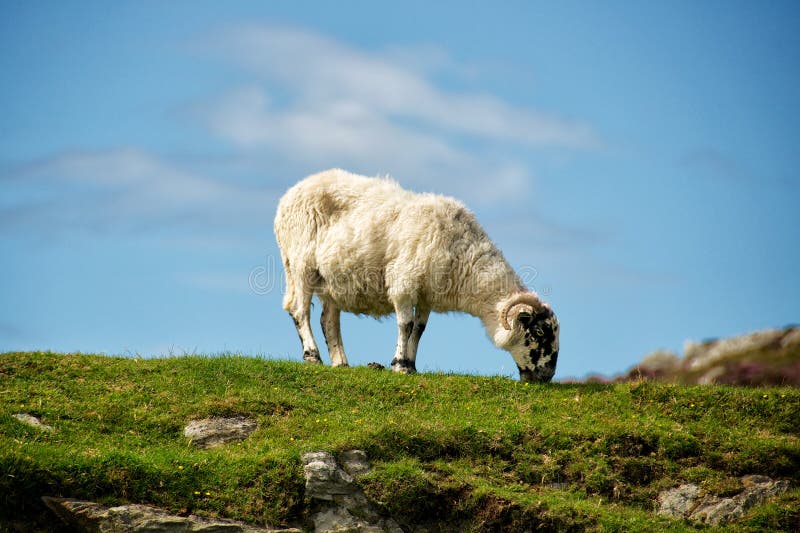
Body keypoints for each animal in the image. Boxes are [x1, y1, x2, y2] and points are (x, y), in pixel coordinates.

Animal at [274, 169, 559, 382]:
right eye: (538, 333)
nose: (547, 376)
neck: (464, 256)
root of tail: (289, 194)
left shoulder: (426, 294)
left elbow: (420, 330)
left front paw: (411, 365)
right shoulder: (404, 283)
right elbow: (406, 325)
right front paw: (399, 364)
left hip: (331, 281)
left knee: (329, 321)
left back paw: (341, 363)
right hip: (300, 265)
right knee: (300, 310)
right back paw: (312, 356)